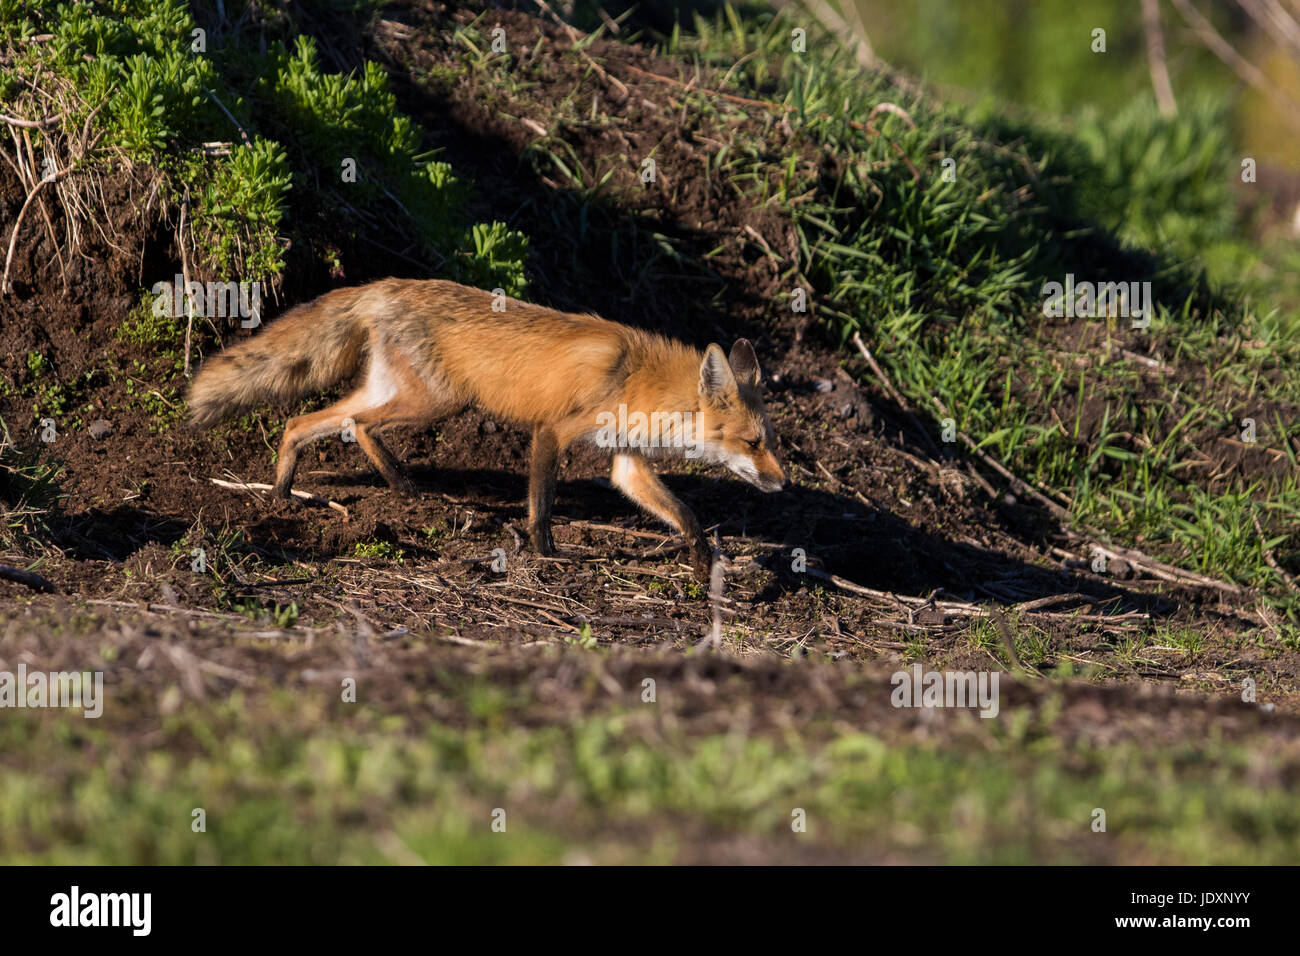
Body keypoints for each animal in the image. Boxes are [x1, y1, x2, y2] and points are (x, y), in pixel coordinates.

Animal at [187, 278, 788, 582]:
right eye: (752, 443)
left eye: (770, 442)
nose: (782, 484)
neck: (638, 378)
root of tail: (389, 283)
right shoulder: (552, 431)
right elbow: (541, 504)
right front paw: (545, 553)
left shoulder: (626, 461)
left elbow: (685, 513)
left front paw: (701, 559)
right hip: (436, 402)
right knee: (358, 424)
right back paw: (402, 486)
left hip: (395, 391)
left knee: (303, 421)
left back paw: (284, 489)